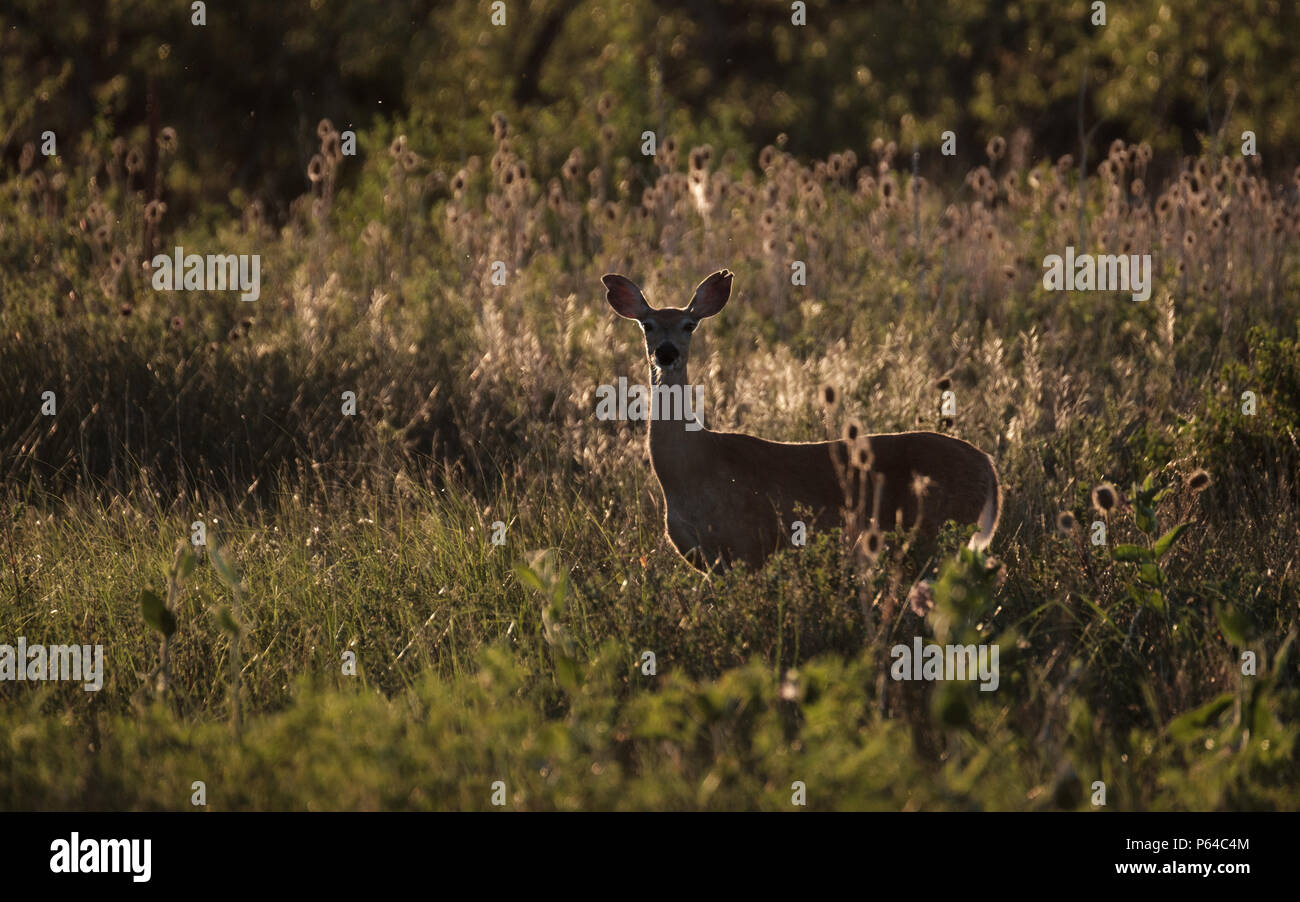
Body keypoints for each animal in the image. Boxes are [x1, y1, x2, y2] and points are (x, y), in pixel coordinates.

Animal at [601, 269, 1001, 571]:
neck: (691, 467)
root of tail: (989, 467)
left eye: (689, 325)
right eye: (647, 324)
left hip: (938, 529)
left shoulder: (749, 545)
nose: (666, 352)